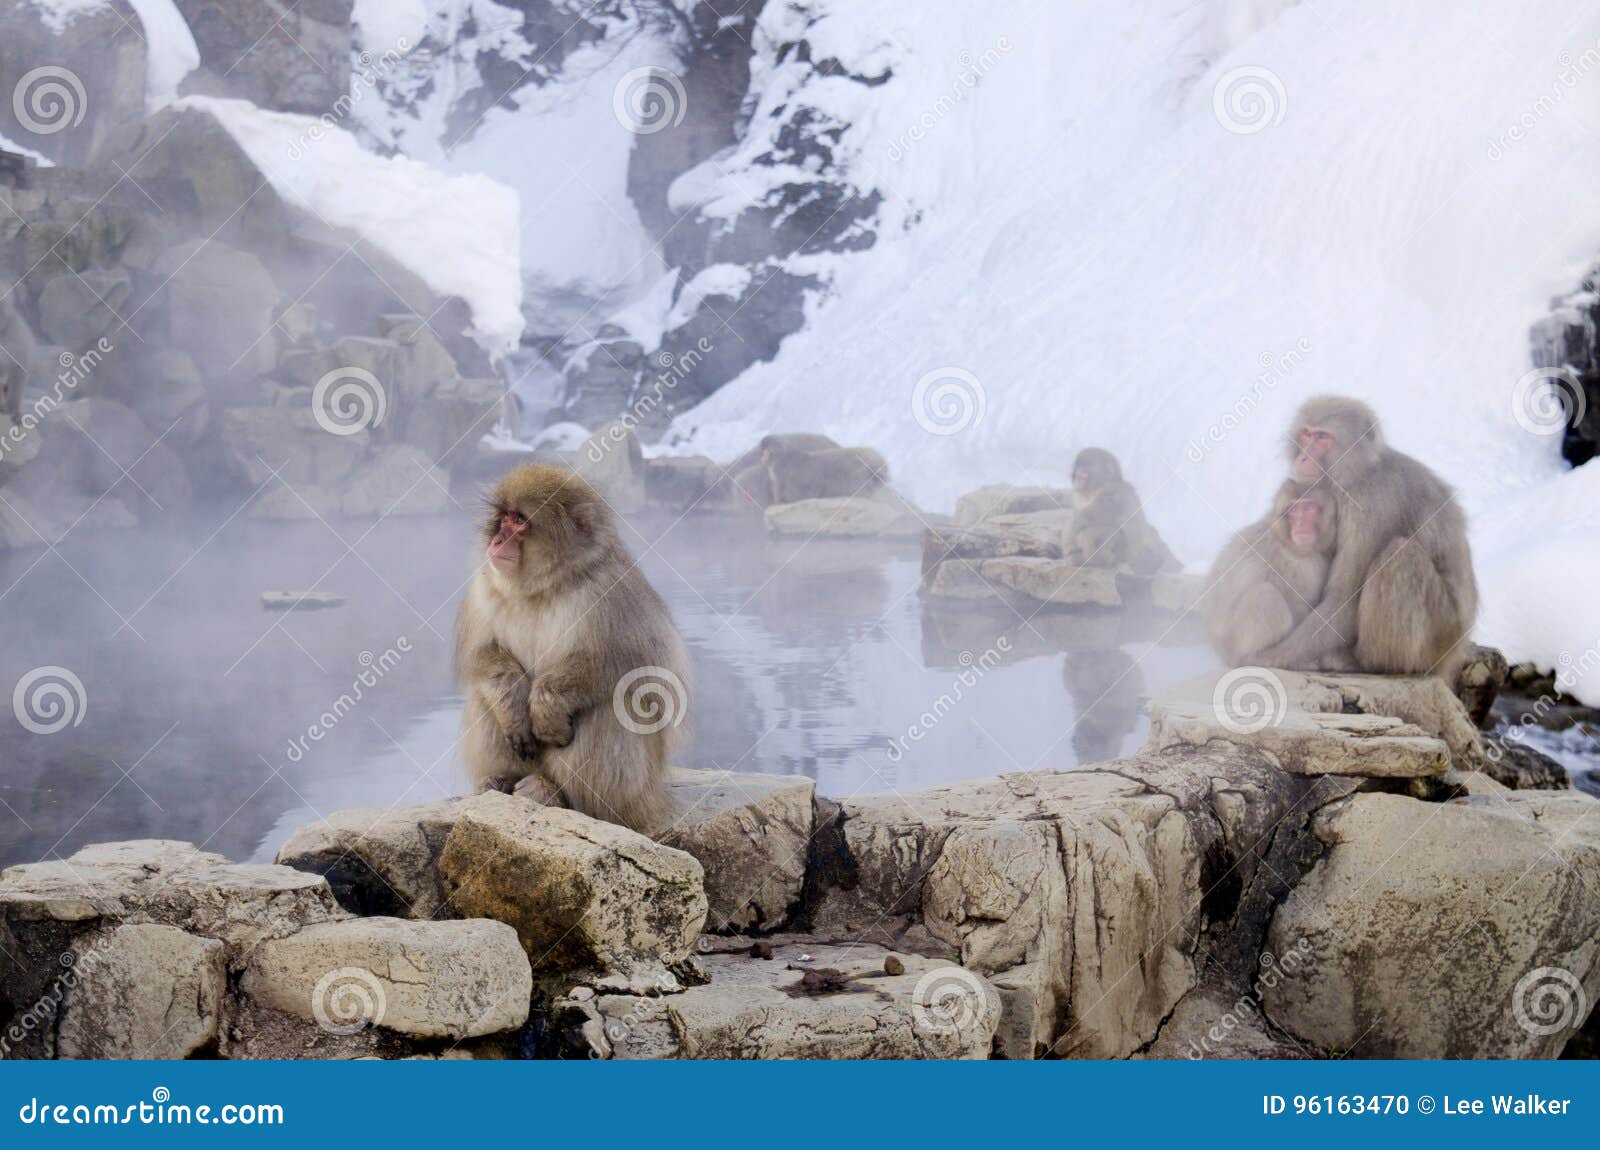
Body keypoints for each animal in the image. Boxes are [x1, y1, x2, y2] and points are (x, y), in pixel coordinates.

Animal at [455, 464, 692, 834]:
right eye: (504, 517)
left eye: (520, 521)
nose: (497, 540)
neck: (546, 585)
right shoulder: (485, 583)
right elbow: (481, 654)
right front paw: (516, 703)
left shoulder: (613, 590)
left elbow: (639, 662)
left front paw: (546, 705)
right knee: (484, 696)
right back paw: (500, 780)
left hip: (639, 794)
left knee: (613, 705)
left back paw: (560, 796)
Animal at [1203, 480, 1348, 667]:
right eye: (1293, 509)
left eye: (1309, 507)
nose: (1300, 524)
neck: (1290, 545)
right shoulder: (1301, 566)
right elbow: (1296, 603)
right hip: (1233, 639)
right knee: (1265, 594)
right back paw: (1254, 657)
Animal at [1256, 395, 1478, 680]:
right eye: (1306, 434)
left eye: (1322, 437)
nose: (1303, 458)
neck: (1358, 472)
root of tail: (1453, 655)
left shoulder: (1372, 504)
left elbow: (1343, 600)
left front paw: (1272, 656)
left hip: (1439, 637)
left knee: (1400, 555)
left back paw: (1374, 664)